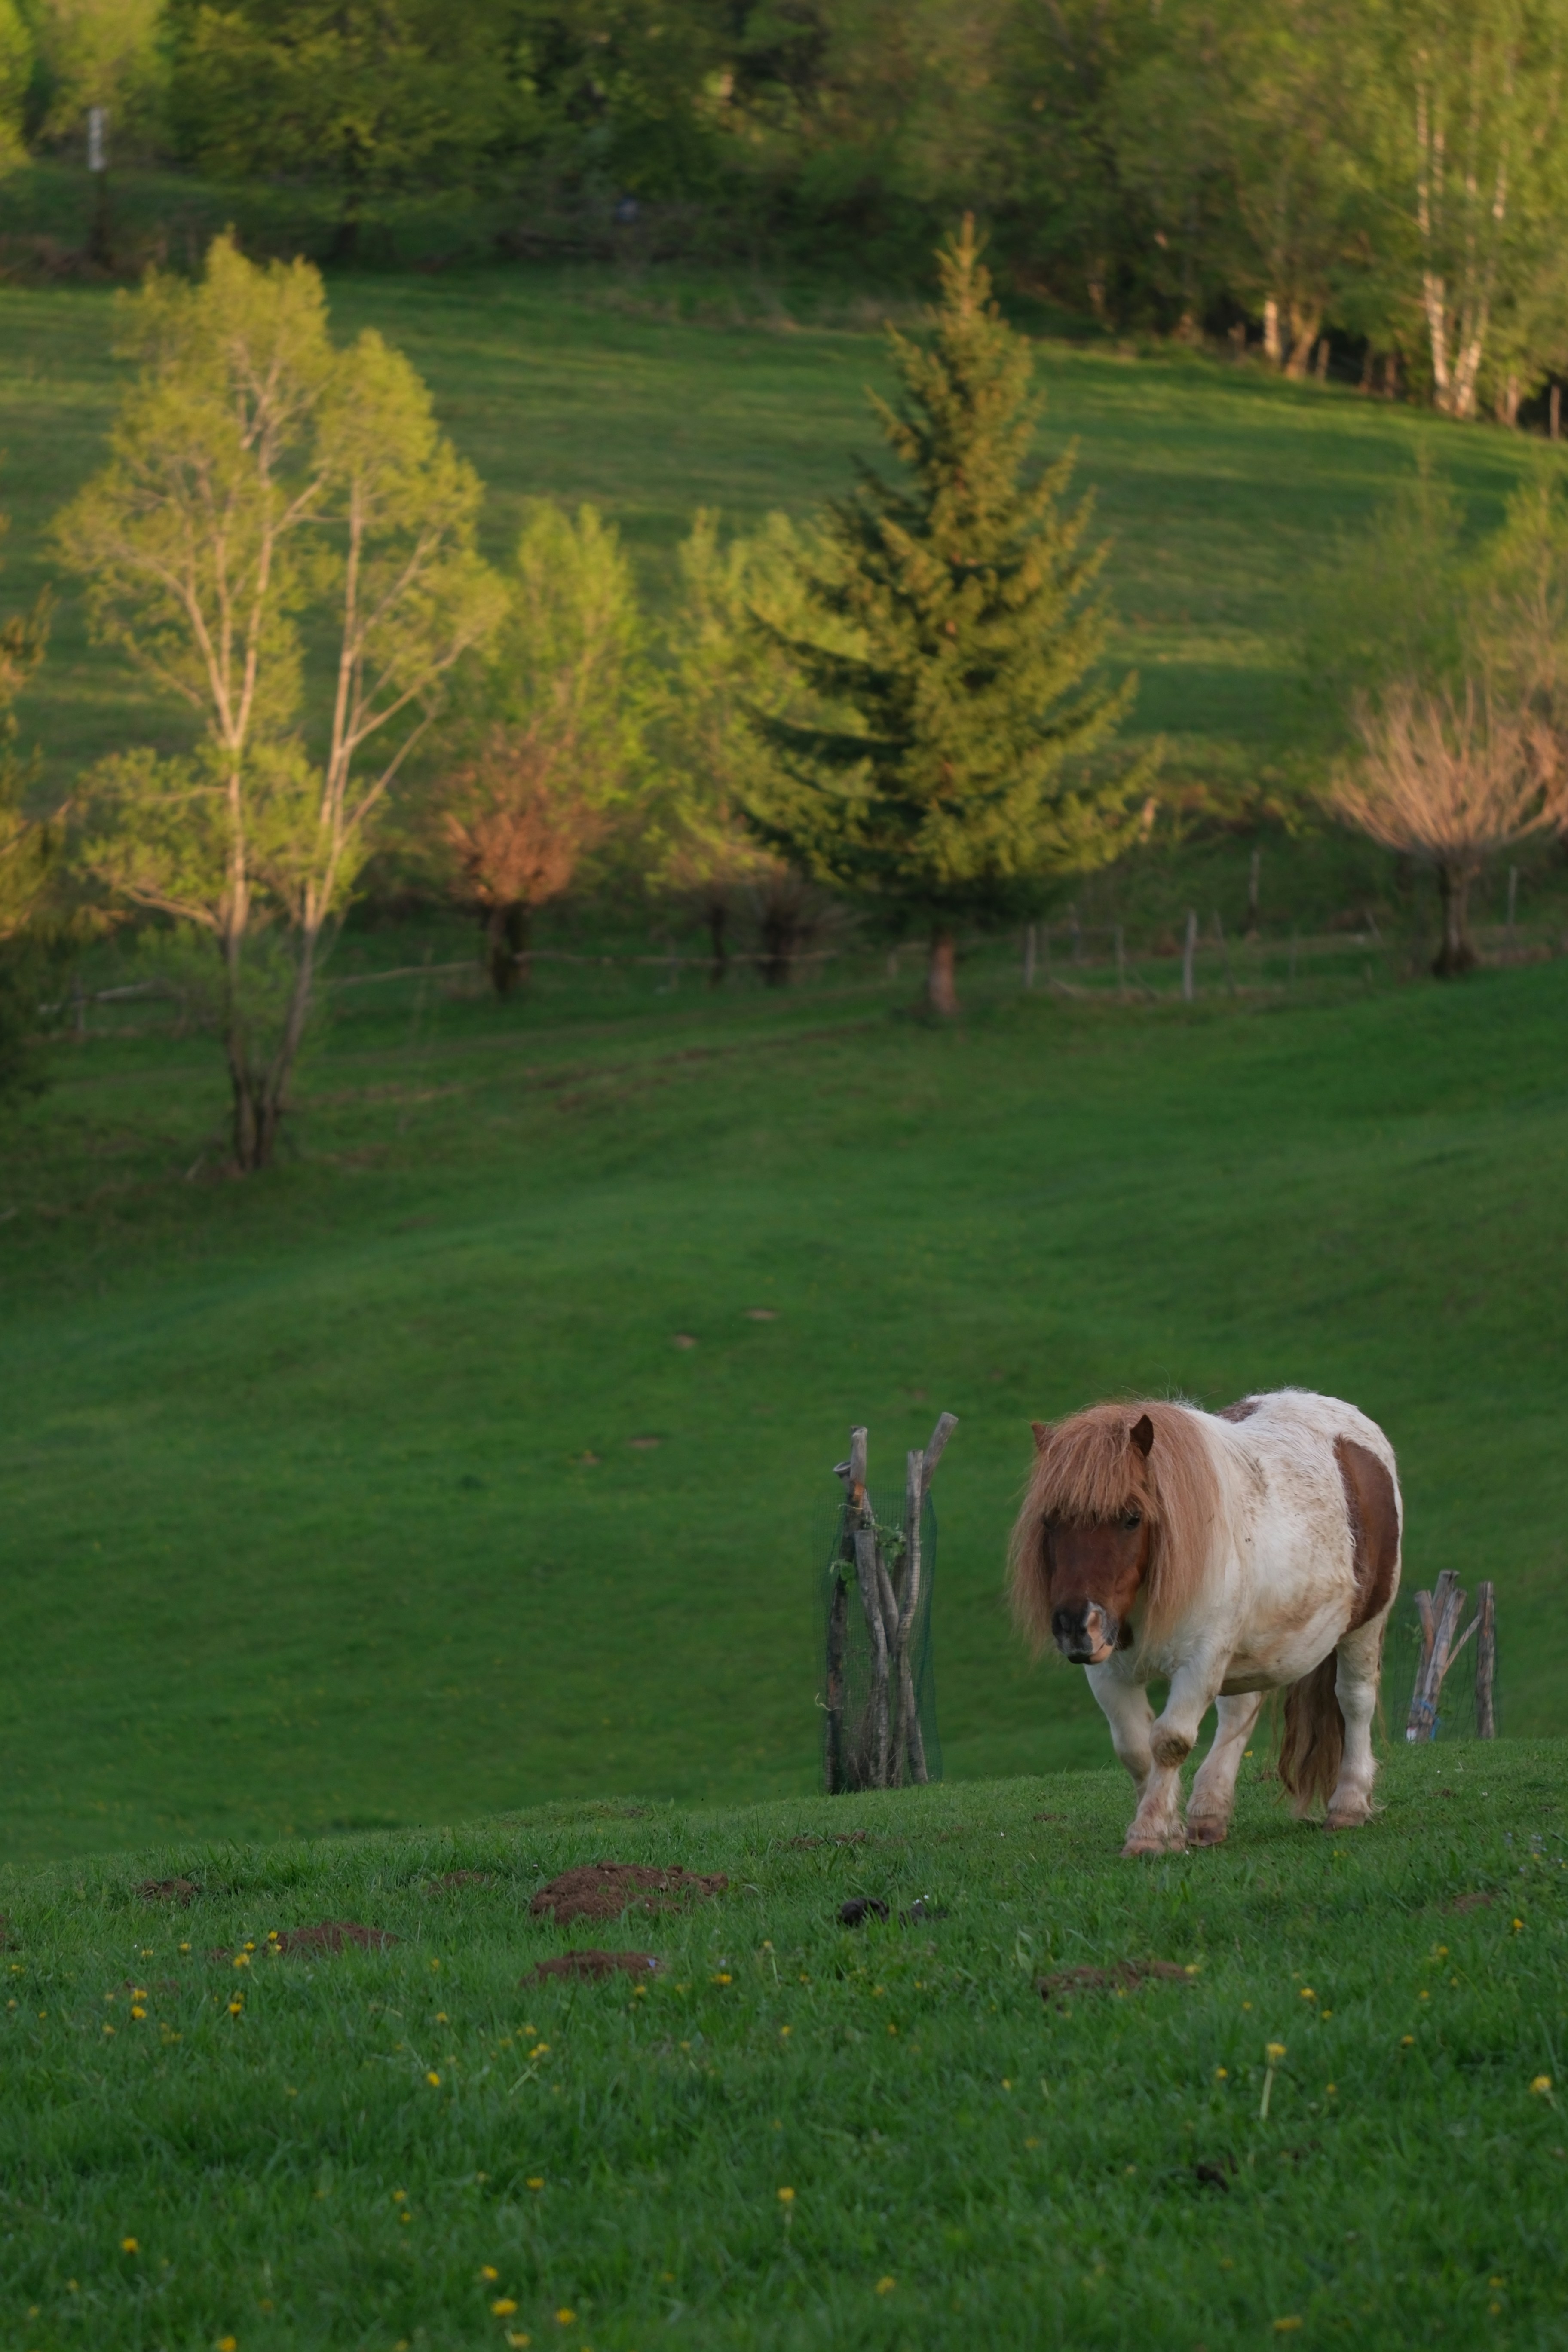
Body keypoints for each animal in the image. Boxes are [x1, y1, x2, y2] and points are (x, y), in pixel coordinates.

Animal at [1009, 1389, 1401, 1855]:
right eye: (1051, 1520)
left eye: (1132, 1518)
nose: (1074, 1625)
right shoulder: (1108, 1669)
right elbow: (1135, 1749)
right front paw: (1169, 1829)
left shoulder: (1199, 1662)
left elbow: (1169, 1741)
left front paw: (1149, 1833)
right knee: (1237, 1713)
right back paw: (1209, 1812)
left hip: (1366, 1625)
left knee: (1355, 1700)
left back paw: (1349, 1804)